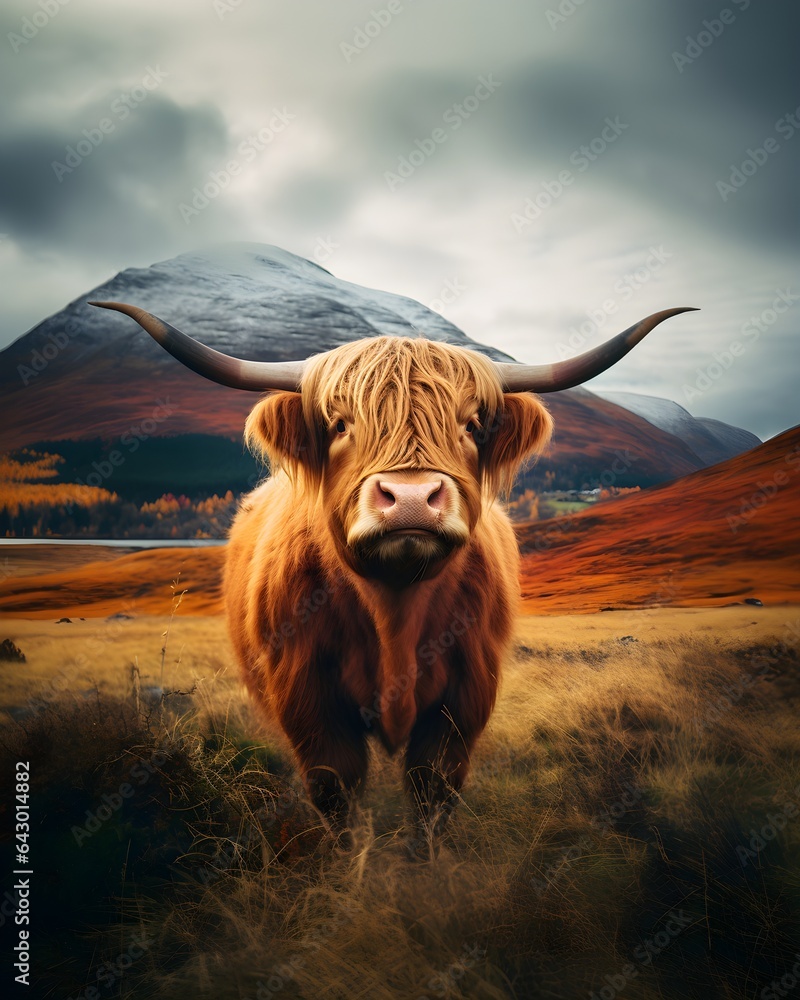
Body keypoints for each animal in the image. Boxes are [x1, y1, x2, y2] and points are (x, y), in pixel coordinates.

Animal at [90, 298, 695, 851]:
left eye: (471, 424)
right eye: (339, 424)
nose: (410, 499)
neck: (395, 609)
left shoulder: (465, 695)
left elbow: (433, 791)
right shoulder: (307, 697)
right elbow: (336, 789)